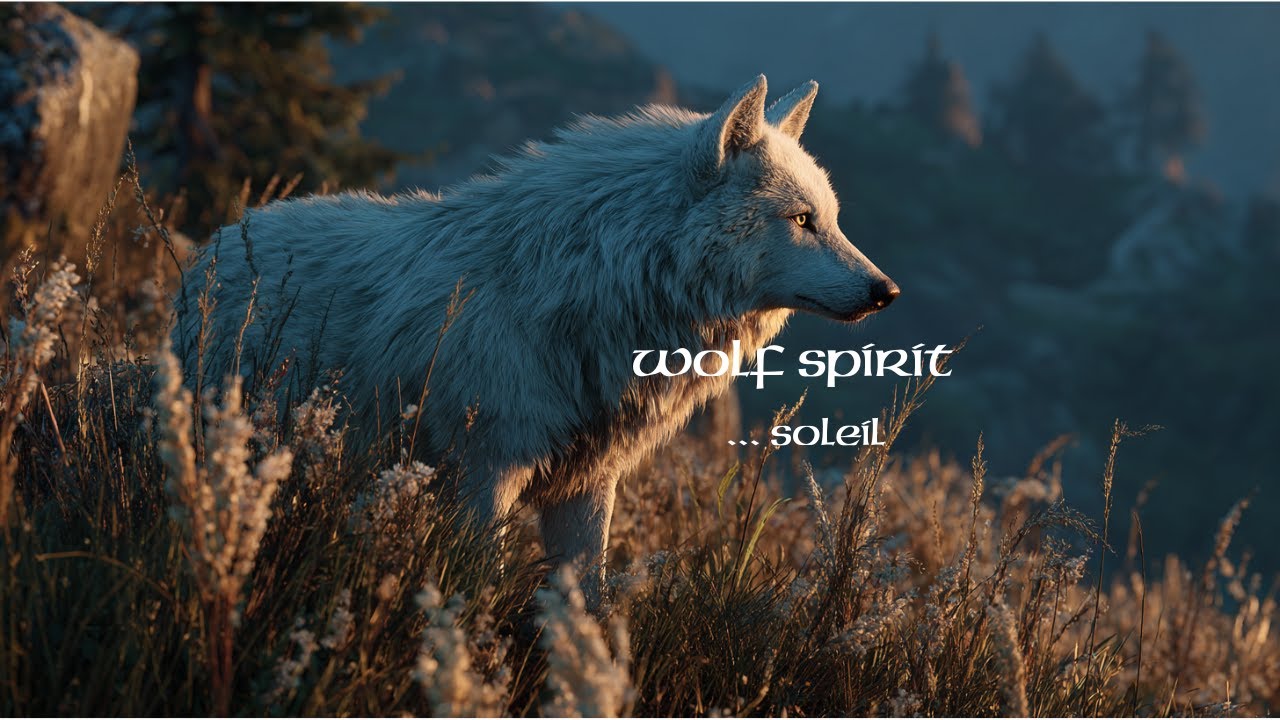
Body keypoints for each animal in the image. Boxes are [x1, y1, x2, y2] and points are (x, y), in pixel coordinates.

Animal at [175, 75, 899, 582]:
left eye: (833, 218)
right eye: (802, 220)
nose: (885, 292)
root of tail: (219, 242)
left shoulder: (588, 485)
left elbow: (589, 599)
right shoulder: (485, 476)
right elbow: (481, 585)